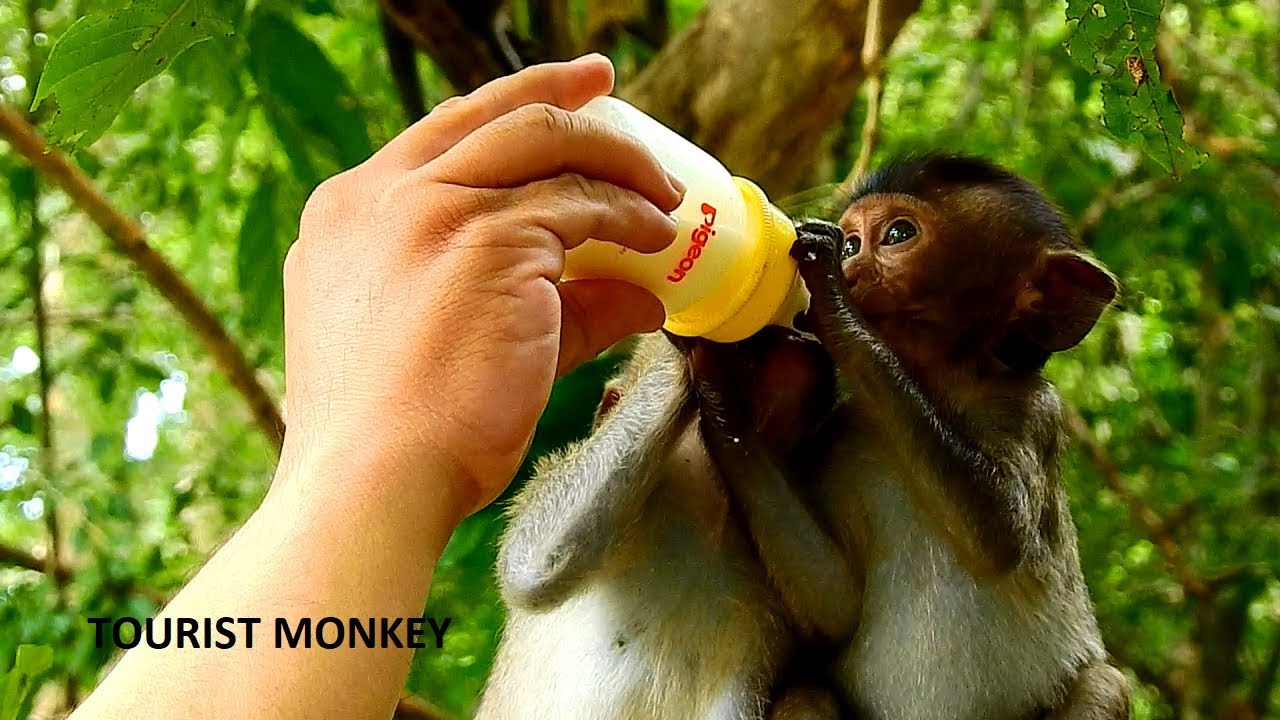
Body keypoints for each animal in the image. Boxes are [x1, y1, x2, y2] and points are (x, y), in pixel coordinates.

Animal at [477, 154, 1130, 720]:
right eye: (854, 239)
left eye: (897, 235)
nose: (850, 261)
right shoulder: (838, 446)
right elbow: (533, 561)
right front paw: (699, 354)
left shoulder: (1031, 411)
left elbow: (993, 531)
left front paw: (824, 304)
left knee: (1107, 685)